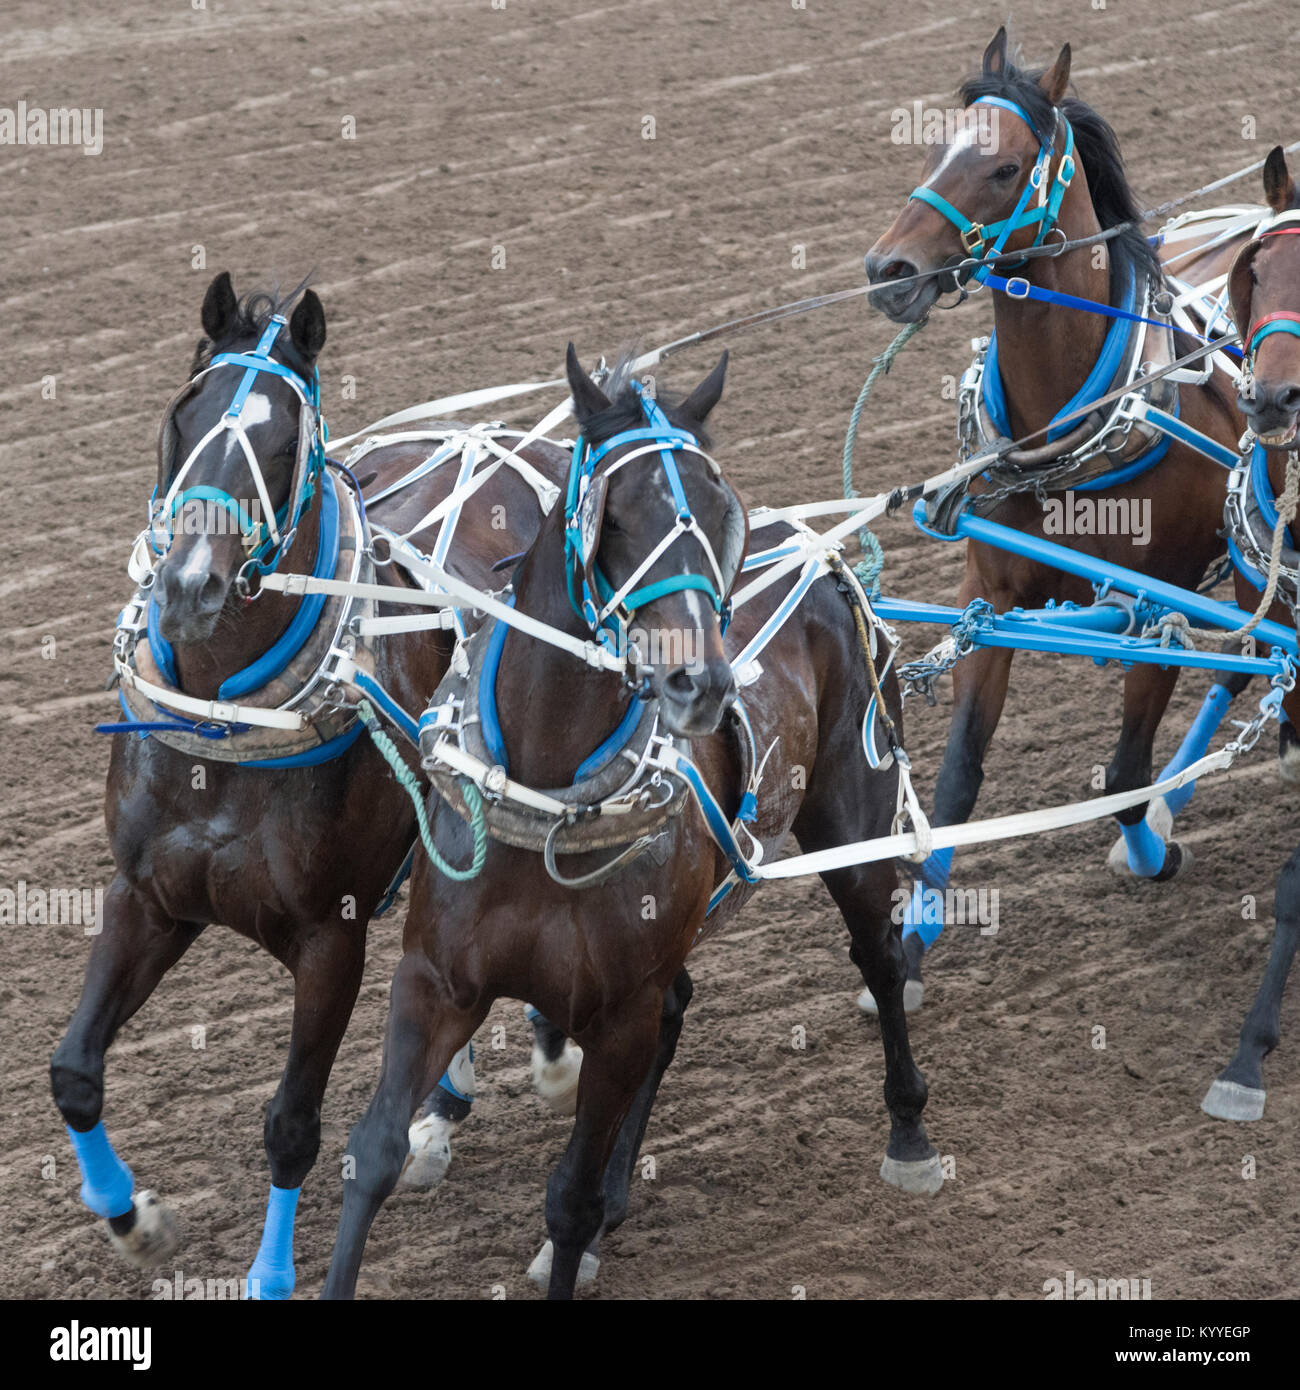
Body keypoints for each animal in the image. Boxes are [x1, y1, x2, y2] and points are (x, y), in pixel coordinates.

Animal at [49, 272, 575, 1296]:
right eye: (185, 412)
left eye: (284, 439)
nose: (190, 585)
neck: (229, 732)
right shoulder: (146, 897)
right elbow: (76, 1071)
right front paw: (136, 1221)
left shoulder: (331, 941)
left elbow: (291, 1128)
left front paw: (270, 1273)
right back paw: (440, 1113)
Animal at [319, 345, 942, 1300]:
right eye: (613, 514)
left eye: (720, 514)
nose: (700, 683)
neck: (546, 798)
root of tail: (818, 552)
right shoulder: (435, 983)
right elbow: (375, 1152)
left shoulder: (616, 1017)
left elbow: (566, 1197)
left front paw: (579, 1224)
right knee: (680, 1009)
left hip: (853, 823)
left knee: (876, 953)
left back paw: (907, 1132)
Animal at [860, 28, 1255, 1010]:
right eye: (935, 148)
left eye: (1004, 168)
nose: (887, 274)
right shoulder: (990, 603)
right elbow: (958, 778)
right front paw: (911, 953)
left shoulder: (1158, 605)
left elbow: (1123, 774)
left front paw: (1150, 848)